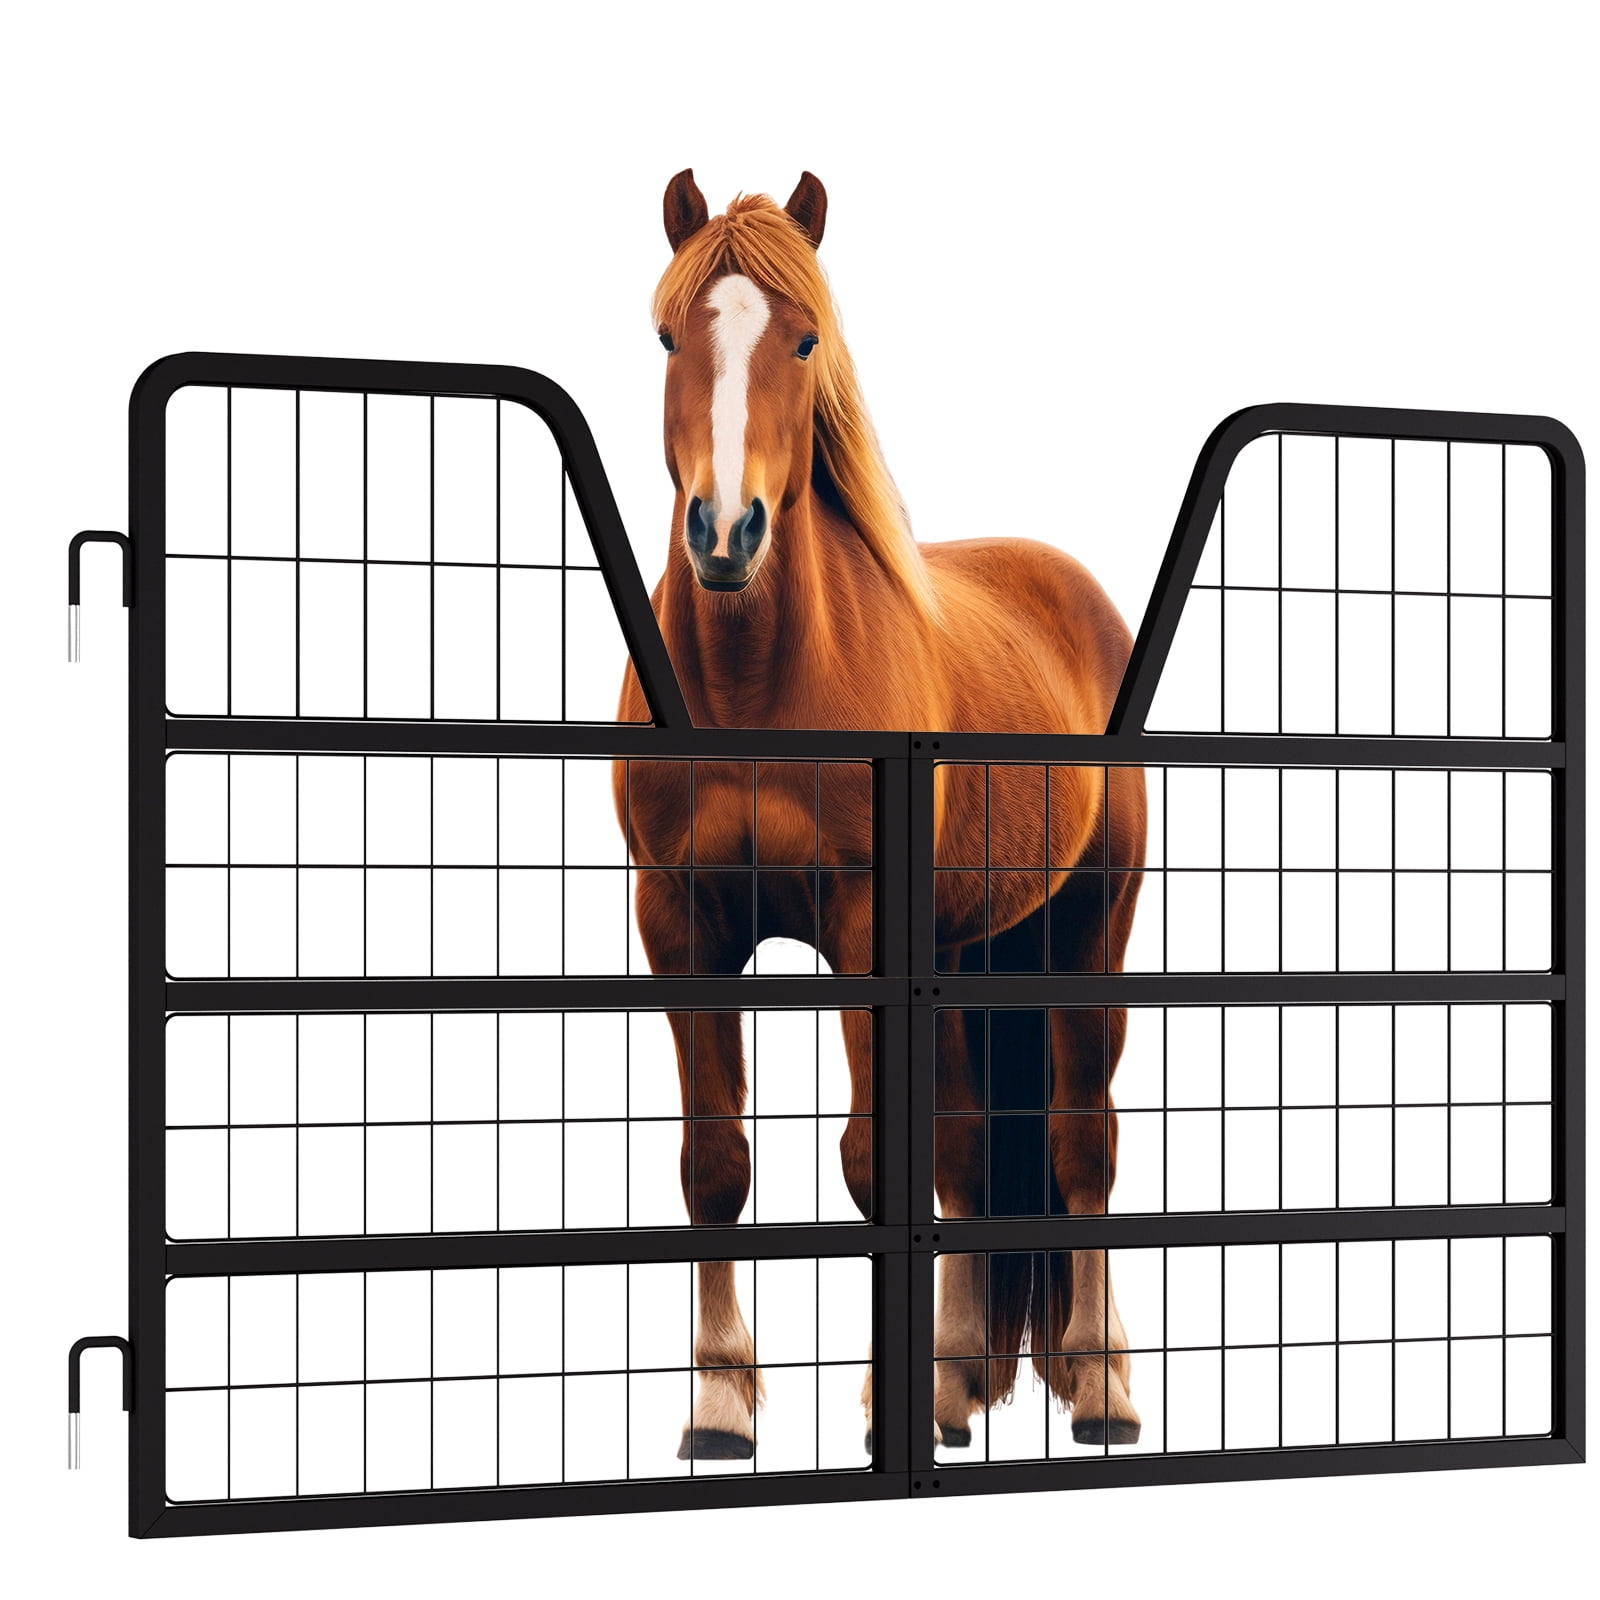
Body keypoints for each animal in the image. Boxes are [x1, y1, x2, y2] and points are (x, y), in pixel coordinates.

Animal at [615, 171, 1146, 1460]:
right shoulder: (679, 922)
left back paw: (1100, 1384)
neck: (757, 689)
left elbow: (871, 1160)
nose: (726, 533)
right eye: (667, 337)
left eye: (806, 338)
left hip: (1088, 929)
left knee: (1083, 1140)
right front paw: (720, 1408)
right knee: (969, 1145)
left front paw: (882, 1399)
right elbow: (716, 1161)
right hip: (974, 949)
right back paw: (958, 1382)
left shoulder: (862, 924)